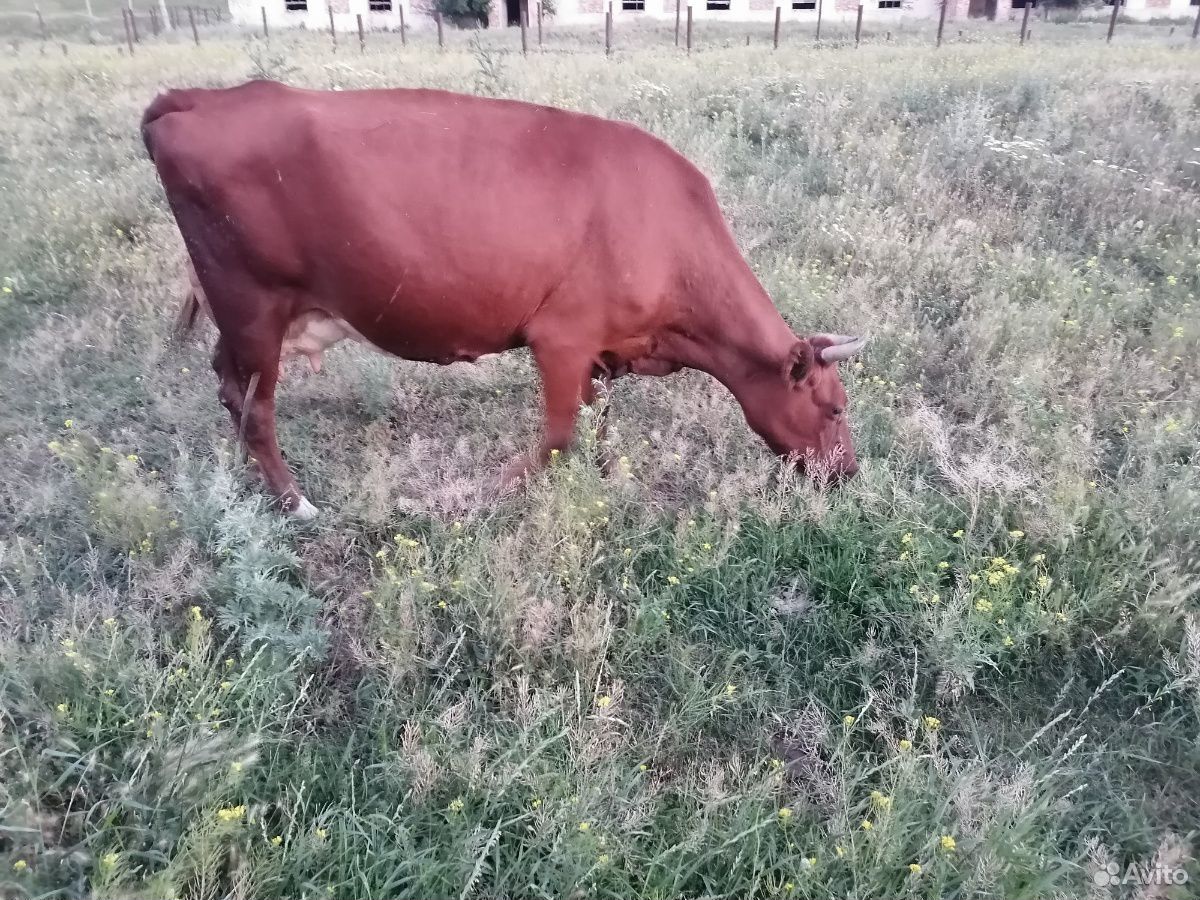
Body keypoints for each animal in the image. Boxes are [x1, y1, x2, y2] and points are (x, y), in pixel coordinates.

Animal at [142, 80, 865, 519]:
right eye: (833, 408)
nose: (850, 474)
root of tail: (201, 99)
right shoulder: (562, 338)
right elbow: (559, 432)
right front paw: (498, 490)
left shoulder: (602, 350)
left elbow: (597, 423)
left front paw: (605, 479)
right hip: (252, 305)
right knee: (257, 411)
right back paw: (297, 504)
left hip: (239, 314)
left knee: (228, 387)